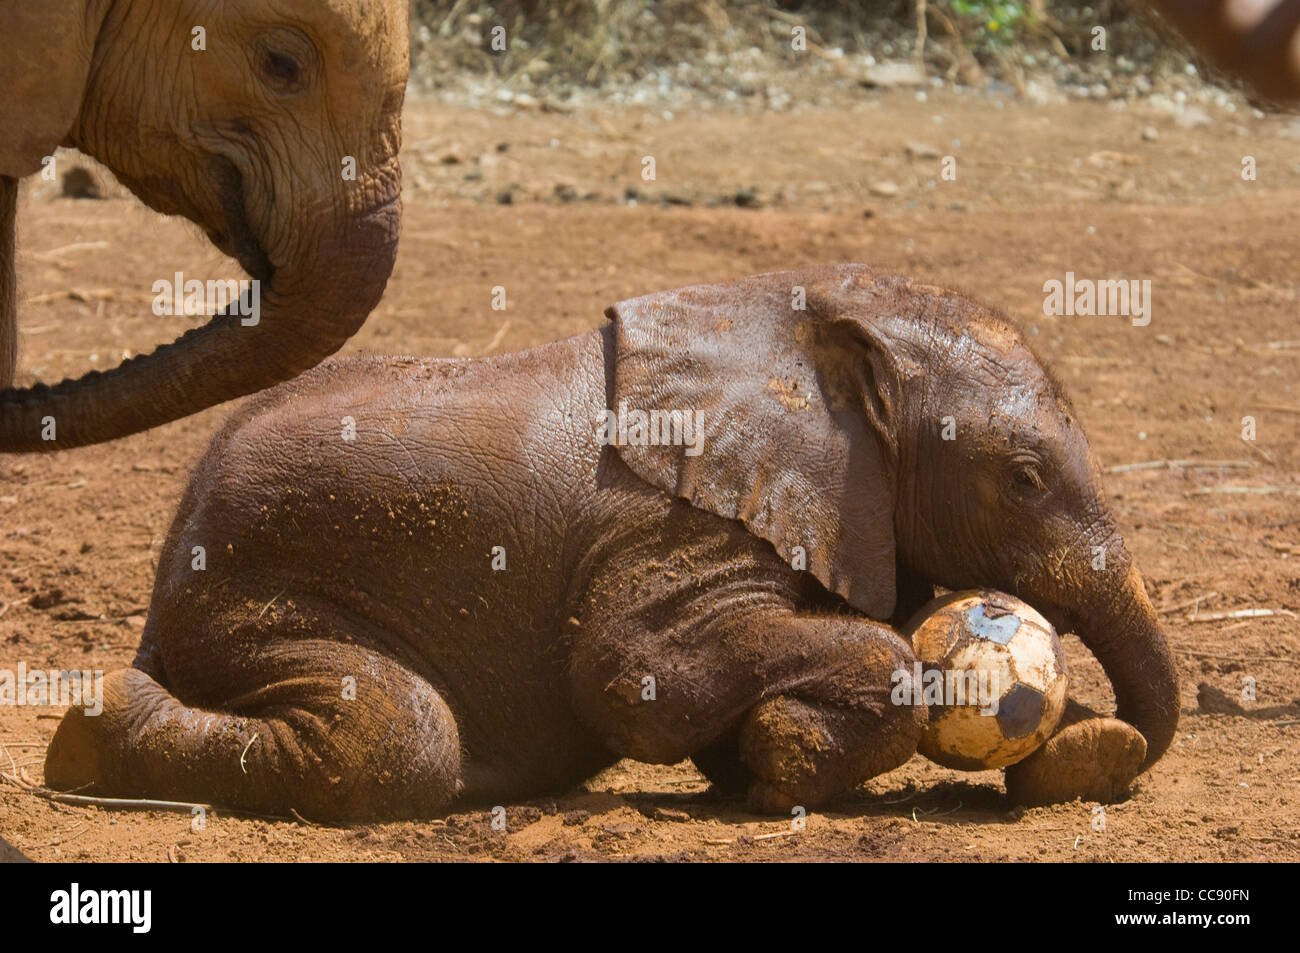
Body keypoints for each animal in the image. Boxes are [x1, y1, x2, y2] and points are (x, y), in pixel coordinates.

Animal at [45, 265, 1181, 821]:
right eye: (1024, 479)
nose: (1084, 741)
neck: (823, 329)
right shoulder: (673, 520)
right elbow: (633, 670)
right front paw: (781, 767)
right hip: (254, 594)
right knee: (399, 738)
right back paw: (87, 739)